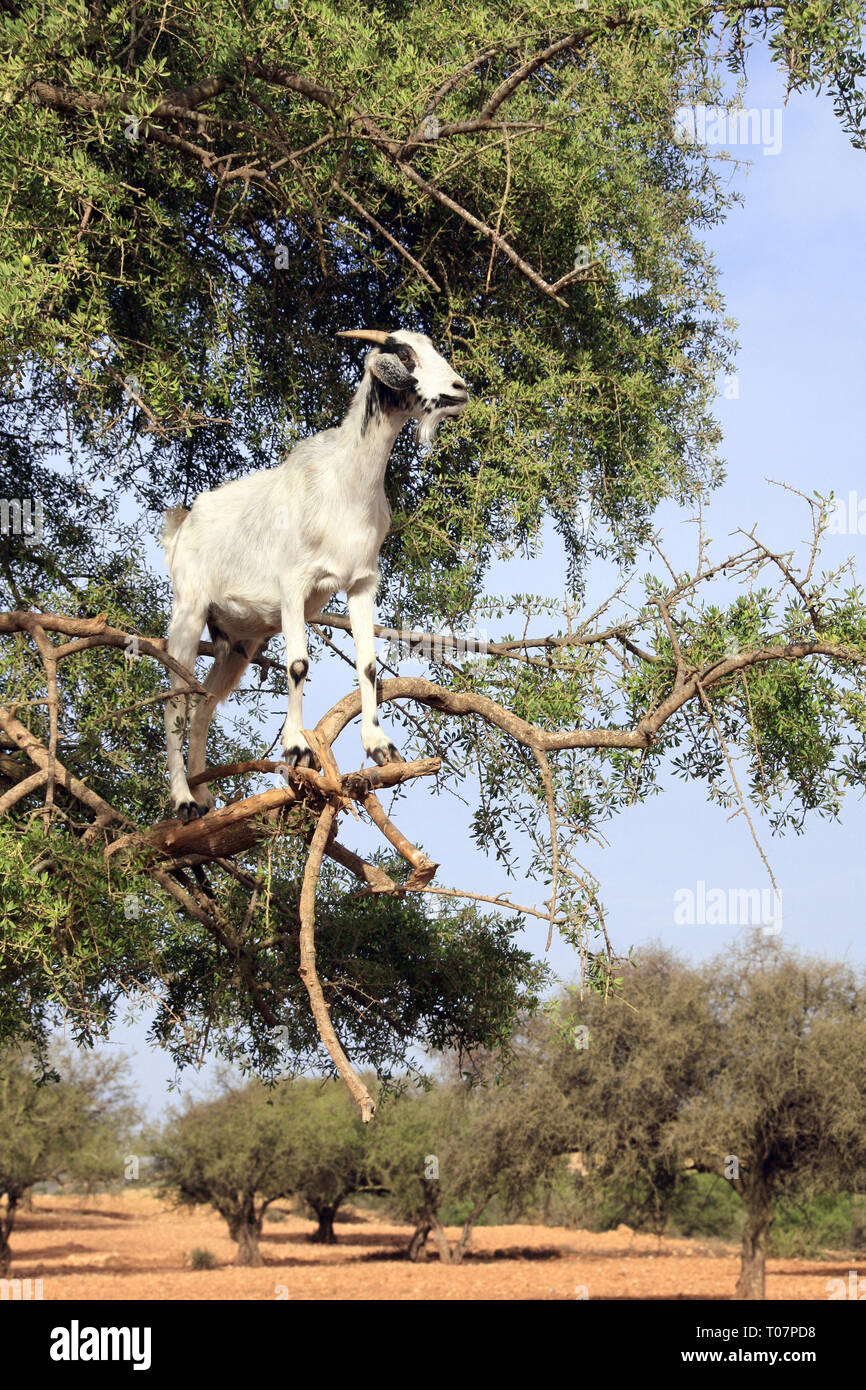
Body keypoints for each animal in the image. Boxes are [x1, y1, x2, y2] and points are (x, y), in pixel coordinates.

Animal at [161, 328, 469, 822]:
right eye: (405, 355)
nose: (460, 389)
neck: (345, 486)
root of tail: (182, 525)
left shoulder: (361, 582)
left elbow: (367, 664)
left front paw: (379, 745)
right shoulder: (293, 585)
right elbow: (298, 664)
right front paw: (295, 748)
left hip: (239, 643)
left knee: (204, 704)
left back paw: (203, 793)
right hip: (188, 610)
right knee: (175, 698)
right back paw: (183, 799)